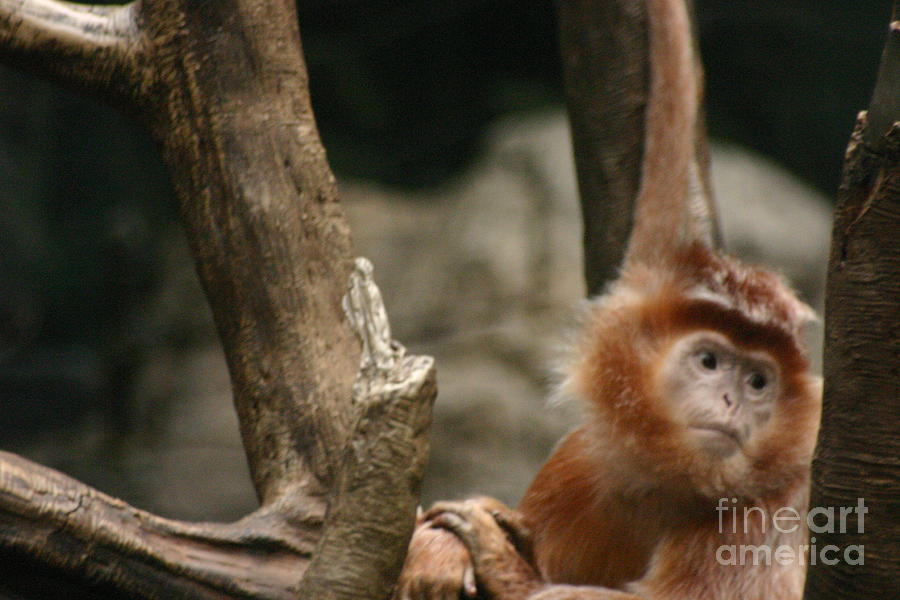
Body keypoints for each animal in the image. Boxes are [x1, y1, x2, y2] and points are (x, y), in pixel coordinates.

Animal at [393, 0, 821, 598]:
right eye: (709, 362)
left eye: (758, 382)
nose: (732, 400)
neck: (667, 486)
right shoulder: (582, 460)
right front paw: (435, 549)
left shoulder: (773, 505)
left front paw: (502, 562)